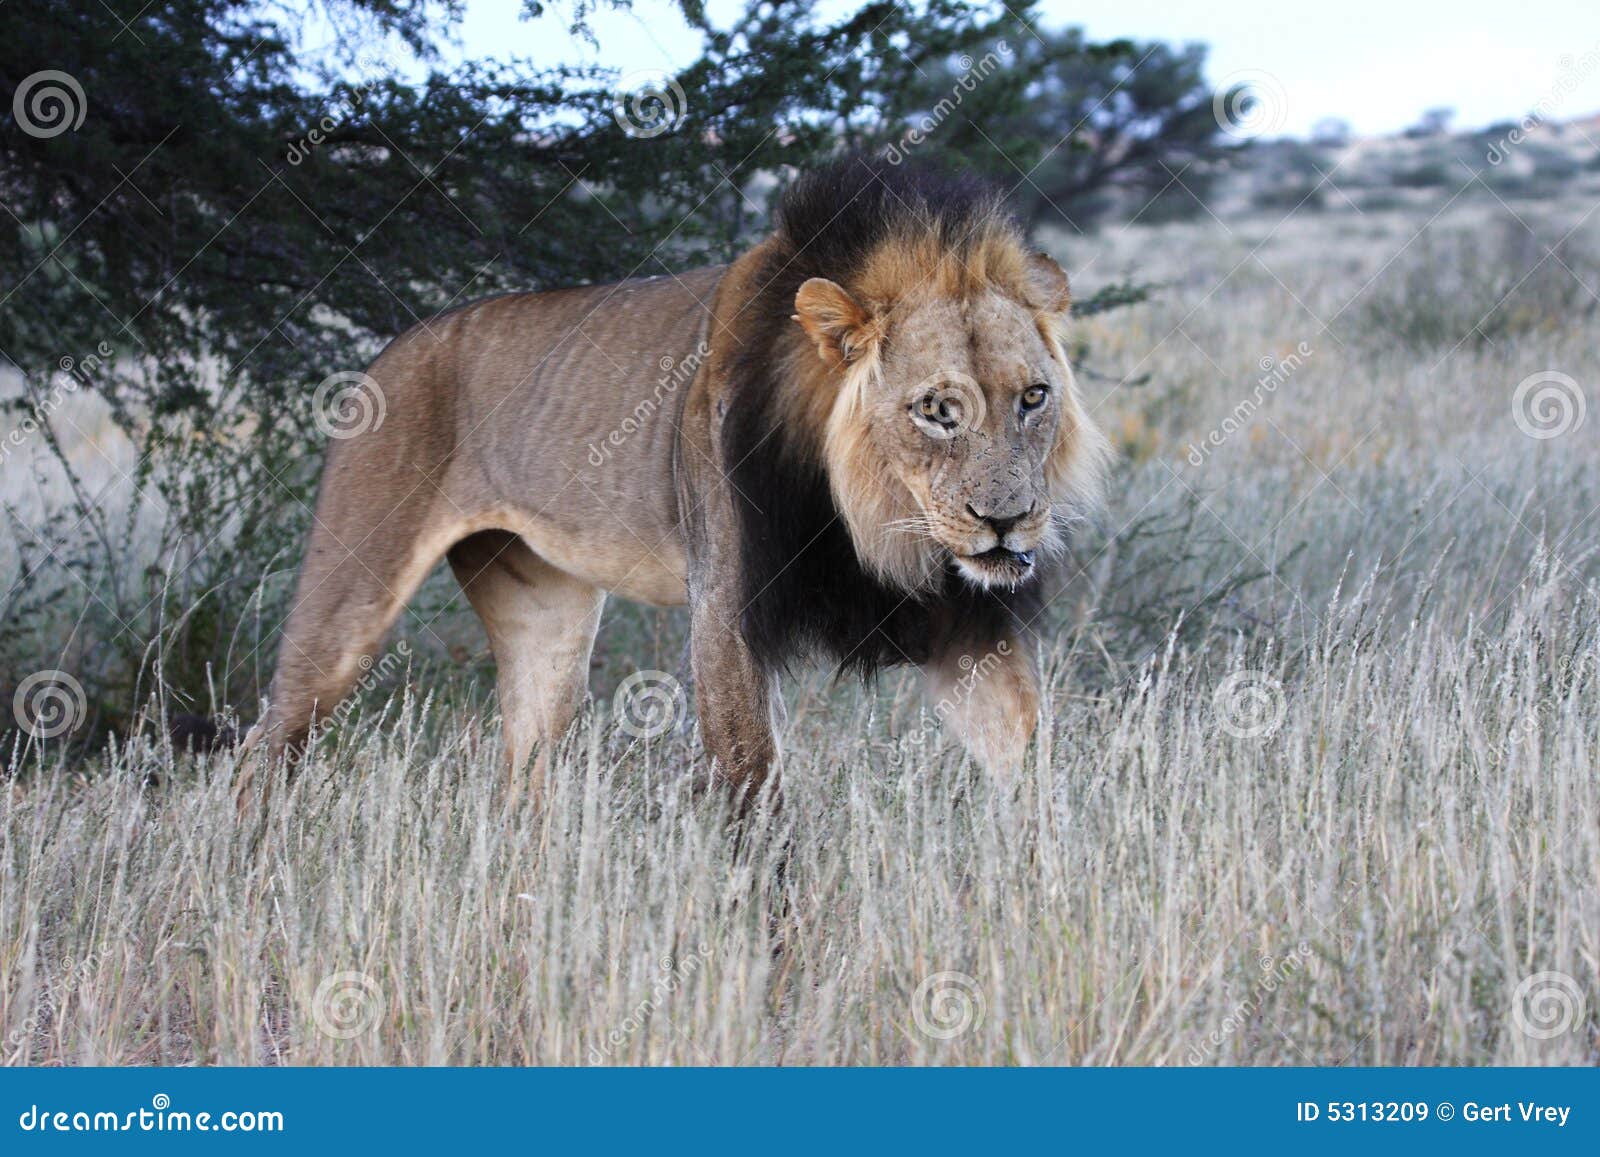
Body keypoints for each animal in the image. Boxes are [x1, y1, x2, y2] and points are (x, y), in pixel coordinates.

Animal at [238, 157, 1109, 808]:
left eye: (1033, 397)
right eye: (936, 411)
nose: (1010, 520)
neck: (874, 517)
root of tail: (395, 344)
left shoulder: (966, 625)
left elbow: (1031, 761)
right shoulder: (724, 614)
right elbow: (759, 806)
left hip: (545, 614)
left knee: (522, 773)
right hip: (351, 597)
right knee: (261, 746)